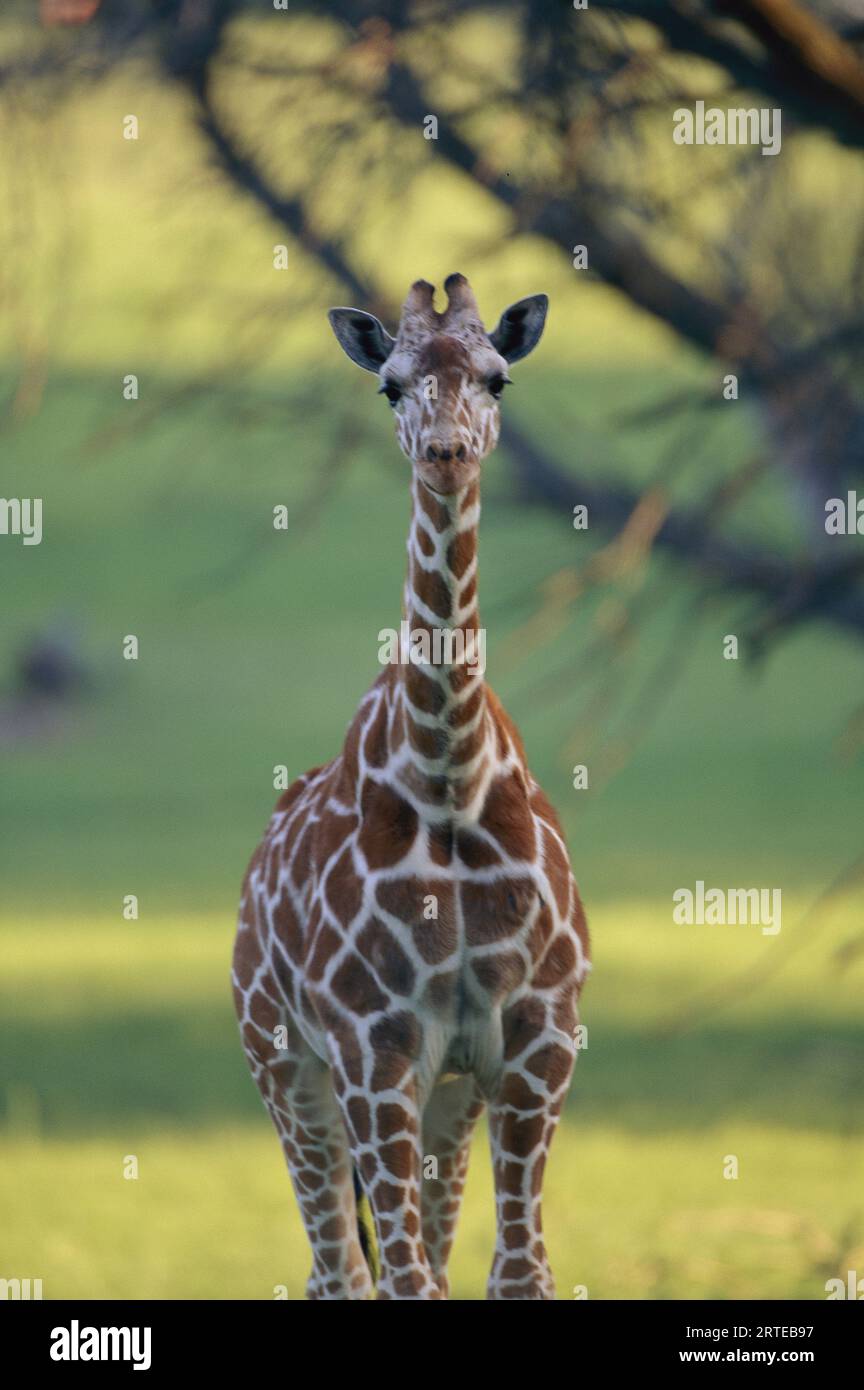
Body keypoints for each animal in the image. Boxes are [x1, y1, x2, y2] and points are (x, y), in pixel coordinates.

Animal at [232, 274, 590, 1301]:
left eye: (497, 376)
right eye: (390, 385)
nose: (446, 452)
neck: (450, 779)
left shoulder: (537, 1042)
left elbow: (516, 1274)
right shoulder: (372, 1050)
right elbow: (404, 1278)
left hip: (449, 1100)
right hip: (285, 1068)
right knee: (338, 1270)